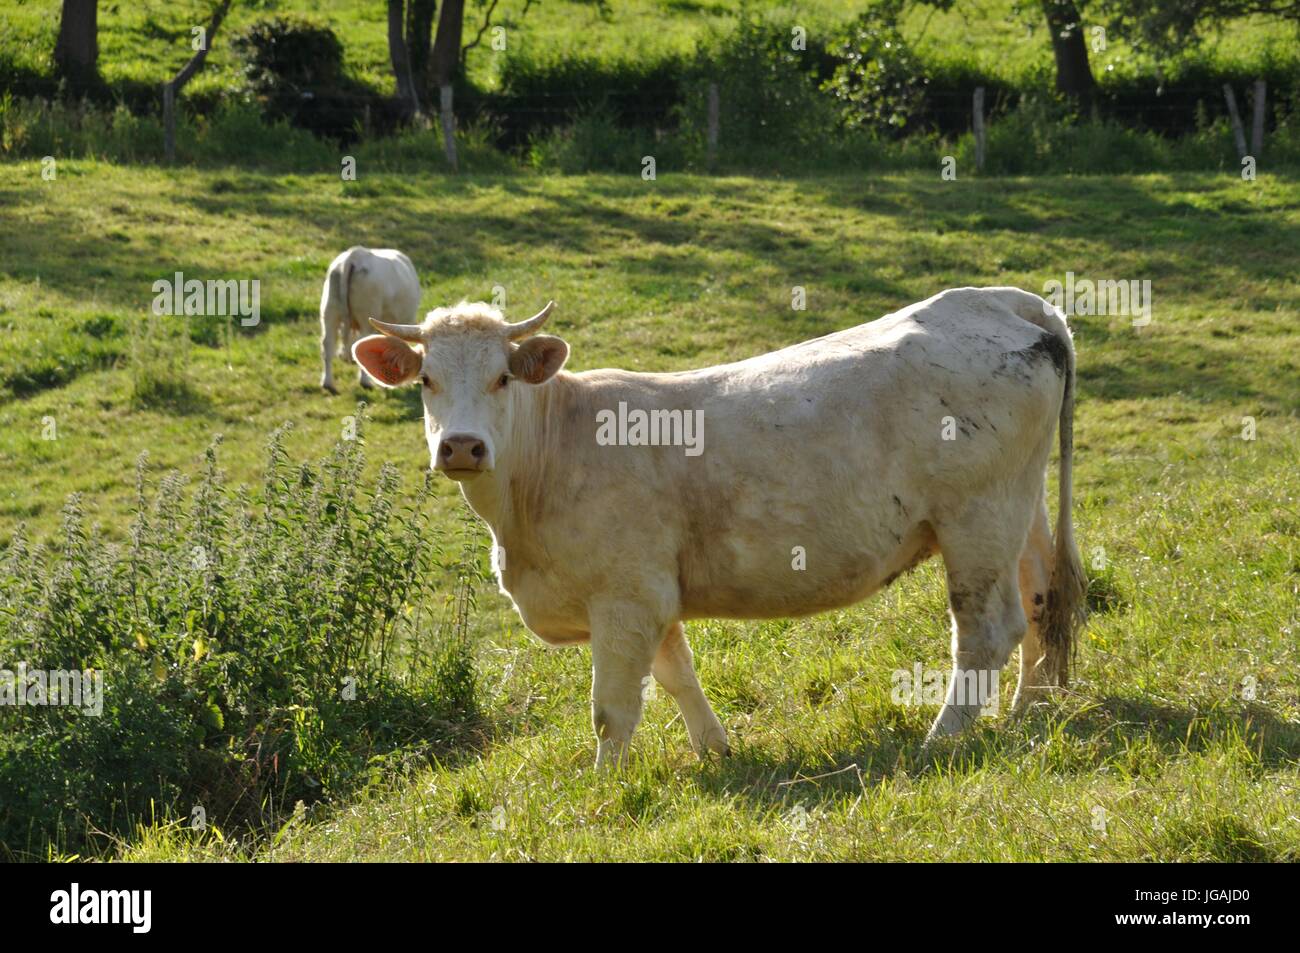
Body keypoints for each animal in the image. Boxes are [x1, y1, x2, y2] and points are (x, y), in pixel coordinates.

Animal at [319, 246, 420, 393]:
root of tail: (357, 254)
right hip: (366, 313)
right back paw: (365, 382)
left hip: (329, 311)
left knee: (327, 344)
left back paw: (328, 383)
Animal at [352, 288, 1087, 768]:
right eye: (426, 379)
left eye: (503, 377)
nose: (462, 446)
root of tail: (999, 299)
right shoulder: (654, 592)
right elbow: (677, 673)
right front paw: (716, 751)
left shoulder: (625, 595)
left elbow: (612, 707)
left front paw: (606, 788)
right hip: (1020, 506)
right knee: (1041, 598)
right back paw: (1031, 714)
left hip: (976, 519)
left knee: (987, 630)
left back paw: (940, 740)